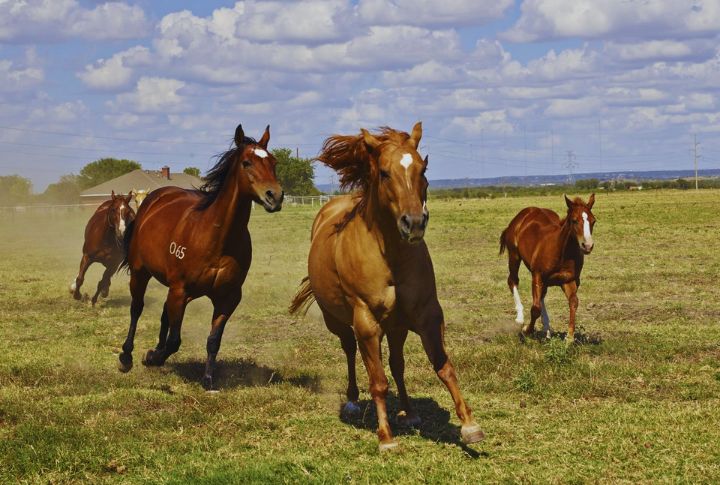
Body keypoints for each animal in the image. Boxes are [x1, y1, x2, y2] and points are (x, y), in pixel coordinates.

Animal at [117, 123, 284, 390]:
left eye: (274, 162)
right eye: (247, 162)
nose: (274, 196)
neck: (216, 239)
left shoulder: (227, 298)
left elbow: (213, 340)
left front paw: (207, 379)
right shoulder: (180, 290)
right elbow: (175, 340)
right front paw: (152, 357)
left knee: (164, 313)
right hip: (141, 273)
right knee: (137, 308)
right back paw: (127, 356)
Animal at [290, 123, 484, 452]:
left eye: (422, 168)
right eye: (383, 172)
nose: (414, 223)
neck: (390, 256)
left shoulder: (427, 315)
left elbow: (443, 366)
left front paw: (470, 425)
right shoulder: (367, 322)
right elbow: (378, 381)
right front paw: (386, 437)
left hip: (396, 327)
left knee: (397, 364)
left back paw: (409, 412)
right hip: (339, 321)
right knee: (350, 351)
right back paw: (353, 402)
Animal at [499, 194, 596, 341]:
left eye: (593, 221)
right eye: (574, 221)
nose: (587, 246)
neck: (562, 252)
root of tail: (523, 214)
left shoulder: (569, 280)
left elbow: (573, 302)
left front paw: (569, 337)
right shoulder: (537, 275)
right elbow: (535, 308)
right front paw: (527, 330)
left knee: (542, 295)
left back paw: (547, 329)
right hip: (514, 255)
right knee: (513, 280)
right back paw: (520, 318)